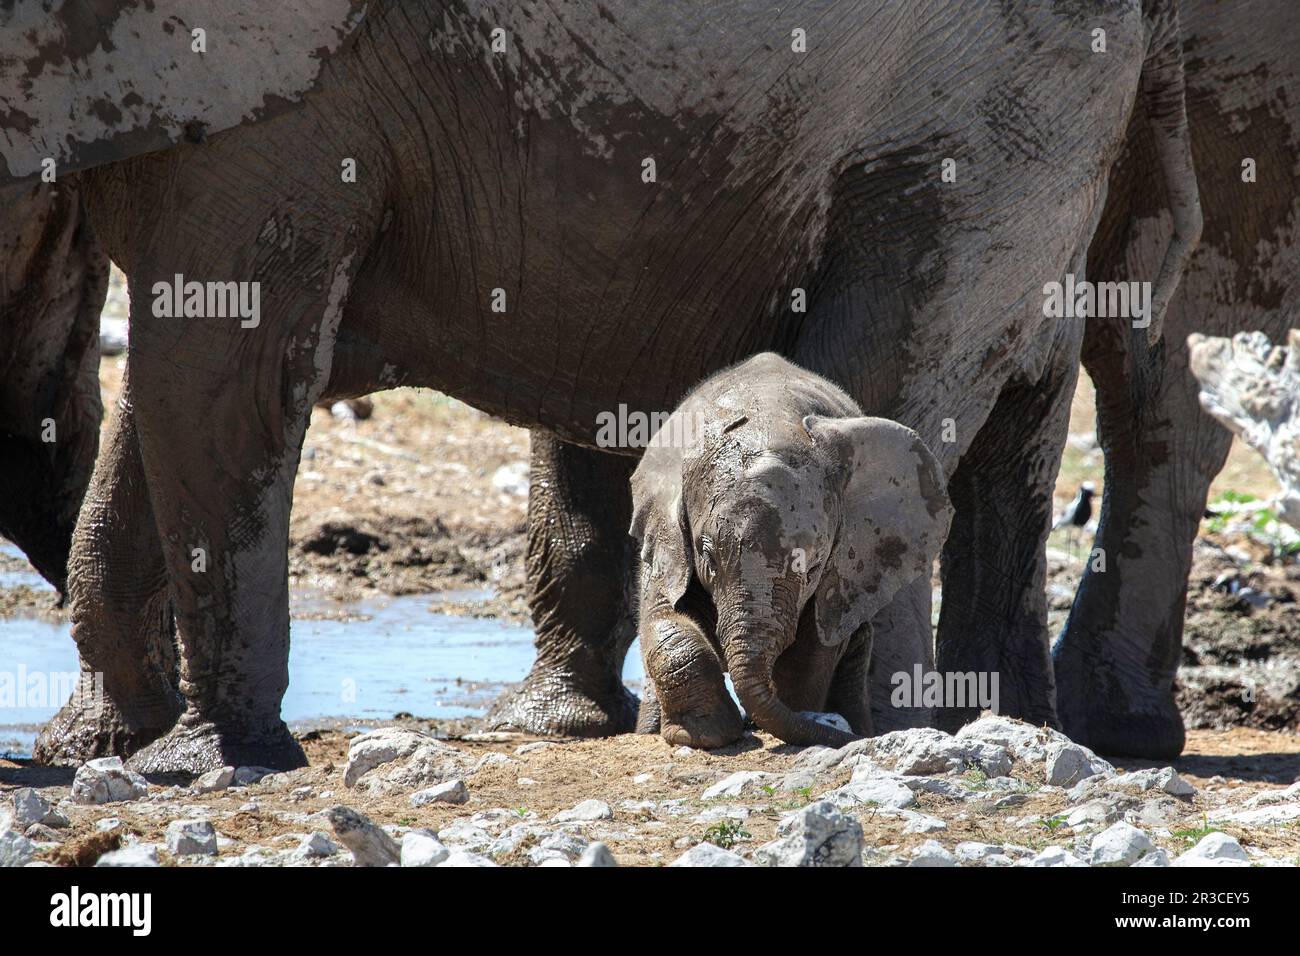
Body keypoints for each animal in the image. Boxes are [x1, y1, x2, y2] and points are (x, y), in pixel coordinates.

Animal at [629, 353, 951, 749]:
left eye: (813, 568)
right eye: (708, 559)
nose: (849, 738)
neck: (768, 413)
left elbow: (812, 653)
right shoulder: (666, 531)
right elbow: (662, 615)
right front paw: (704, 735)